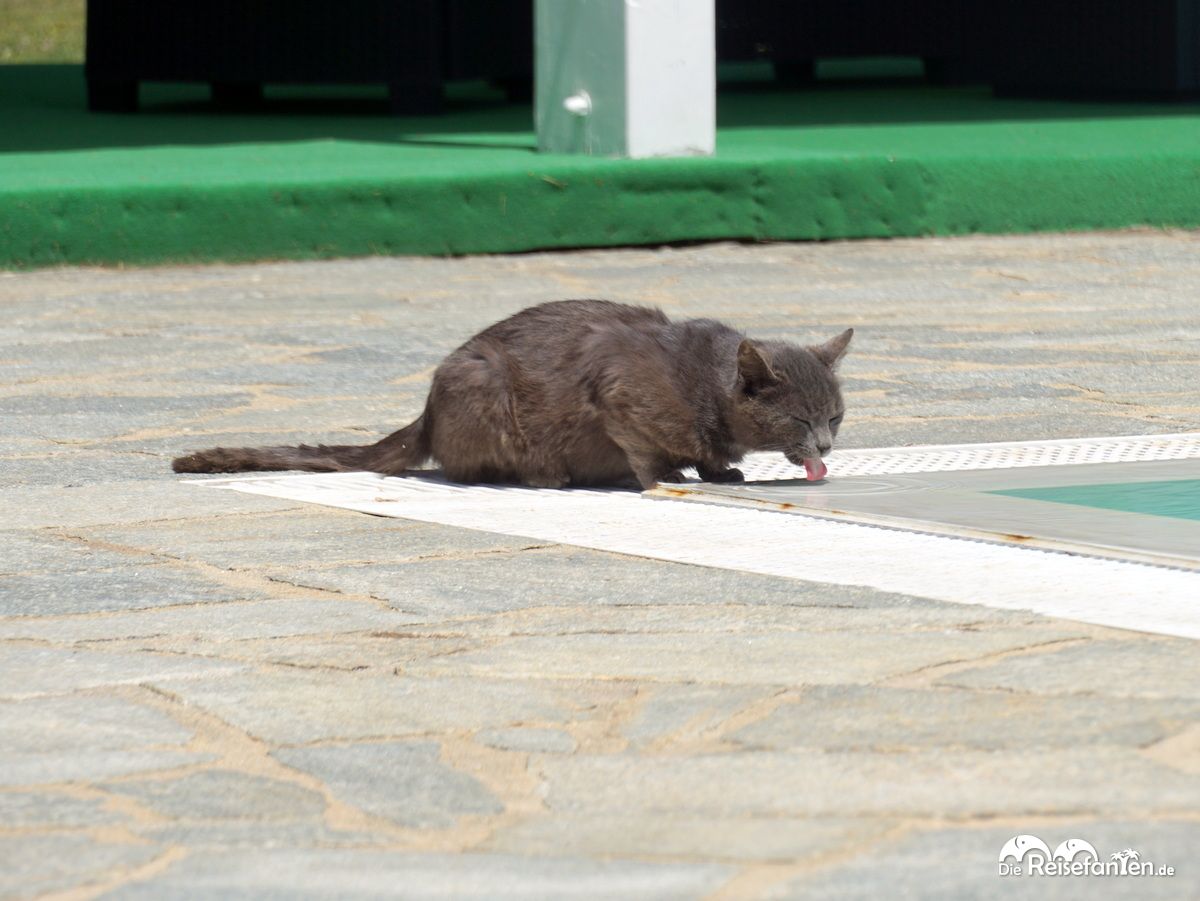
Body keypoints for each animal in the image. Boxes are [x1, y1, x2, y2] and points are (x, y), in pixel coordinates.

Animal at [175, 299, 854, 489]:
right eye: (801, 421)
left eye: (837, 419)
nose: (824, 447)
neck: (703, 387)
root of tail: (423, 414)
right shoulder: (615, 385)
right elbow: (640, 450)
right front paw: (665, 477)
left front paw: (718, 470)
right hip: (483, 383)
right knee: (471, 467)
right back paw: (544, 475)